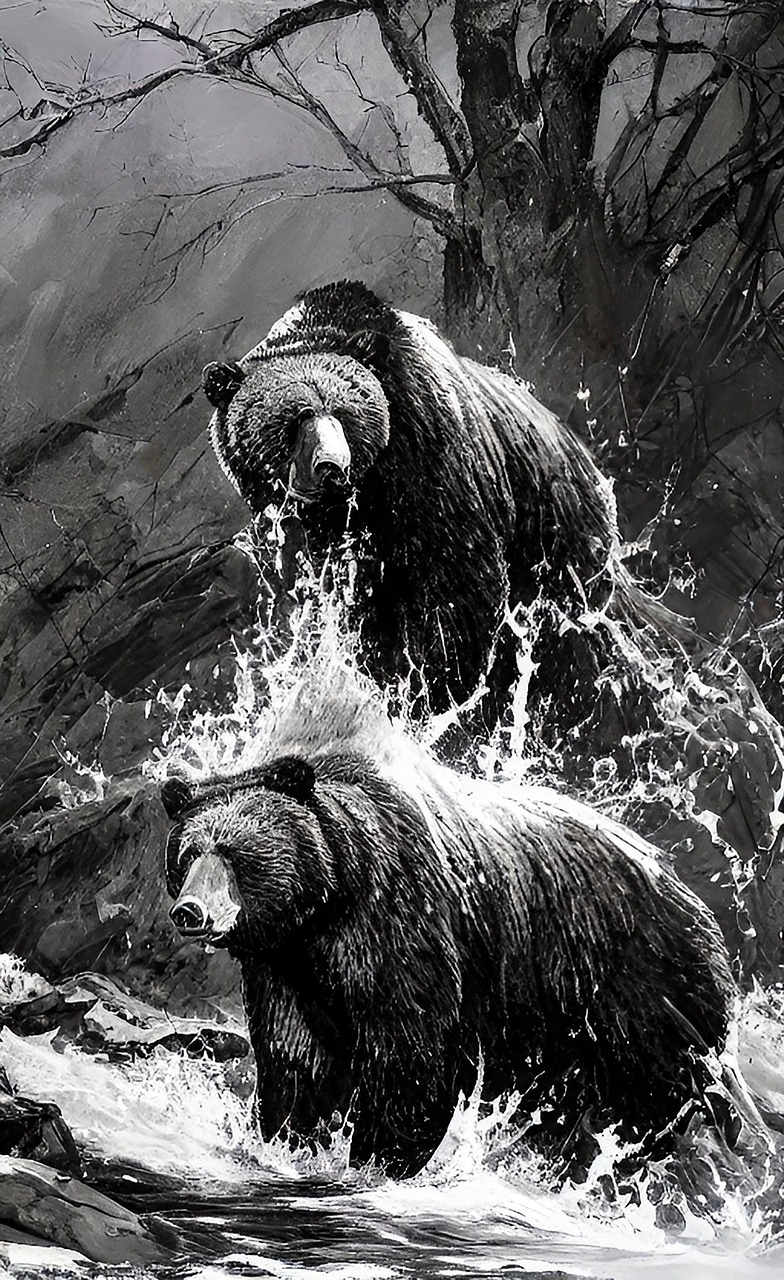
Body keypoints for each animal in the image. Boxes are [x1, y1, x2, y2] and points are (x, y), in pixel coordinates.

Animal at [161, 661, 736, 1179]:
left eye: (237, 855)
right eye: (188, 855)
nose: (191, 912)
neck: (328, 900)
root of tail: (699, 911)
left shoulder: (402, 920)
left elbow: (412, 1056)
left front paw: (378, 1159)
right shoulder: (288, 968)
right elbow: (297, 1060)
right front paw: (291, 1138)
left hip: (632, 997)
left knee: (634, 1110)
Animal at [202, 279, 642, 732]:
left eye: (345, 411)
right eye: (294, 417)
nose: (331, 468)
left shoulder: (432, 459)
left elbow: (457, 584)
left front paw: (430, 691)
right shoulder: (328, 542)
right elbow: (359, 608)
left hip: (553, 522)